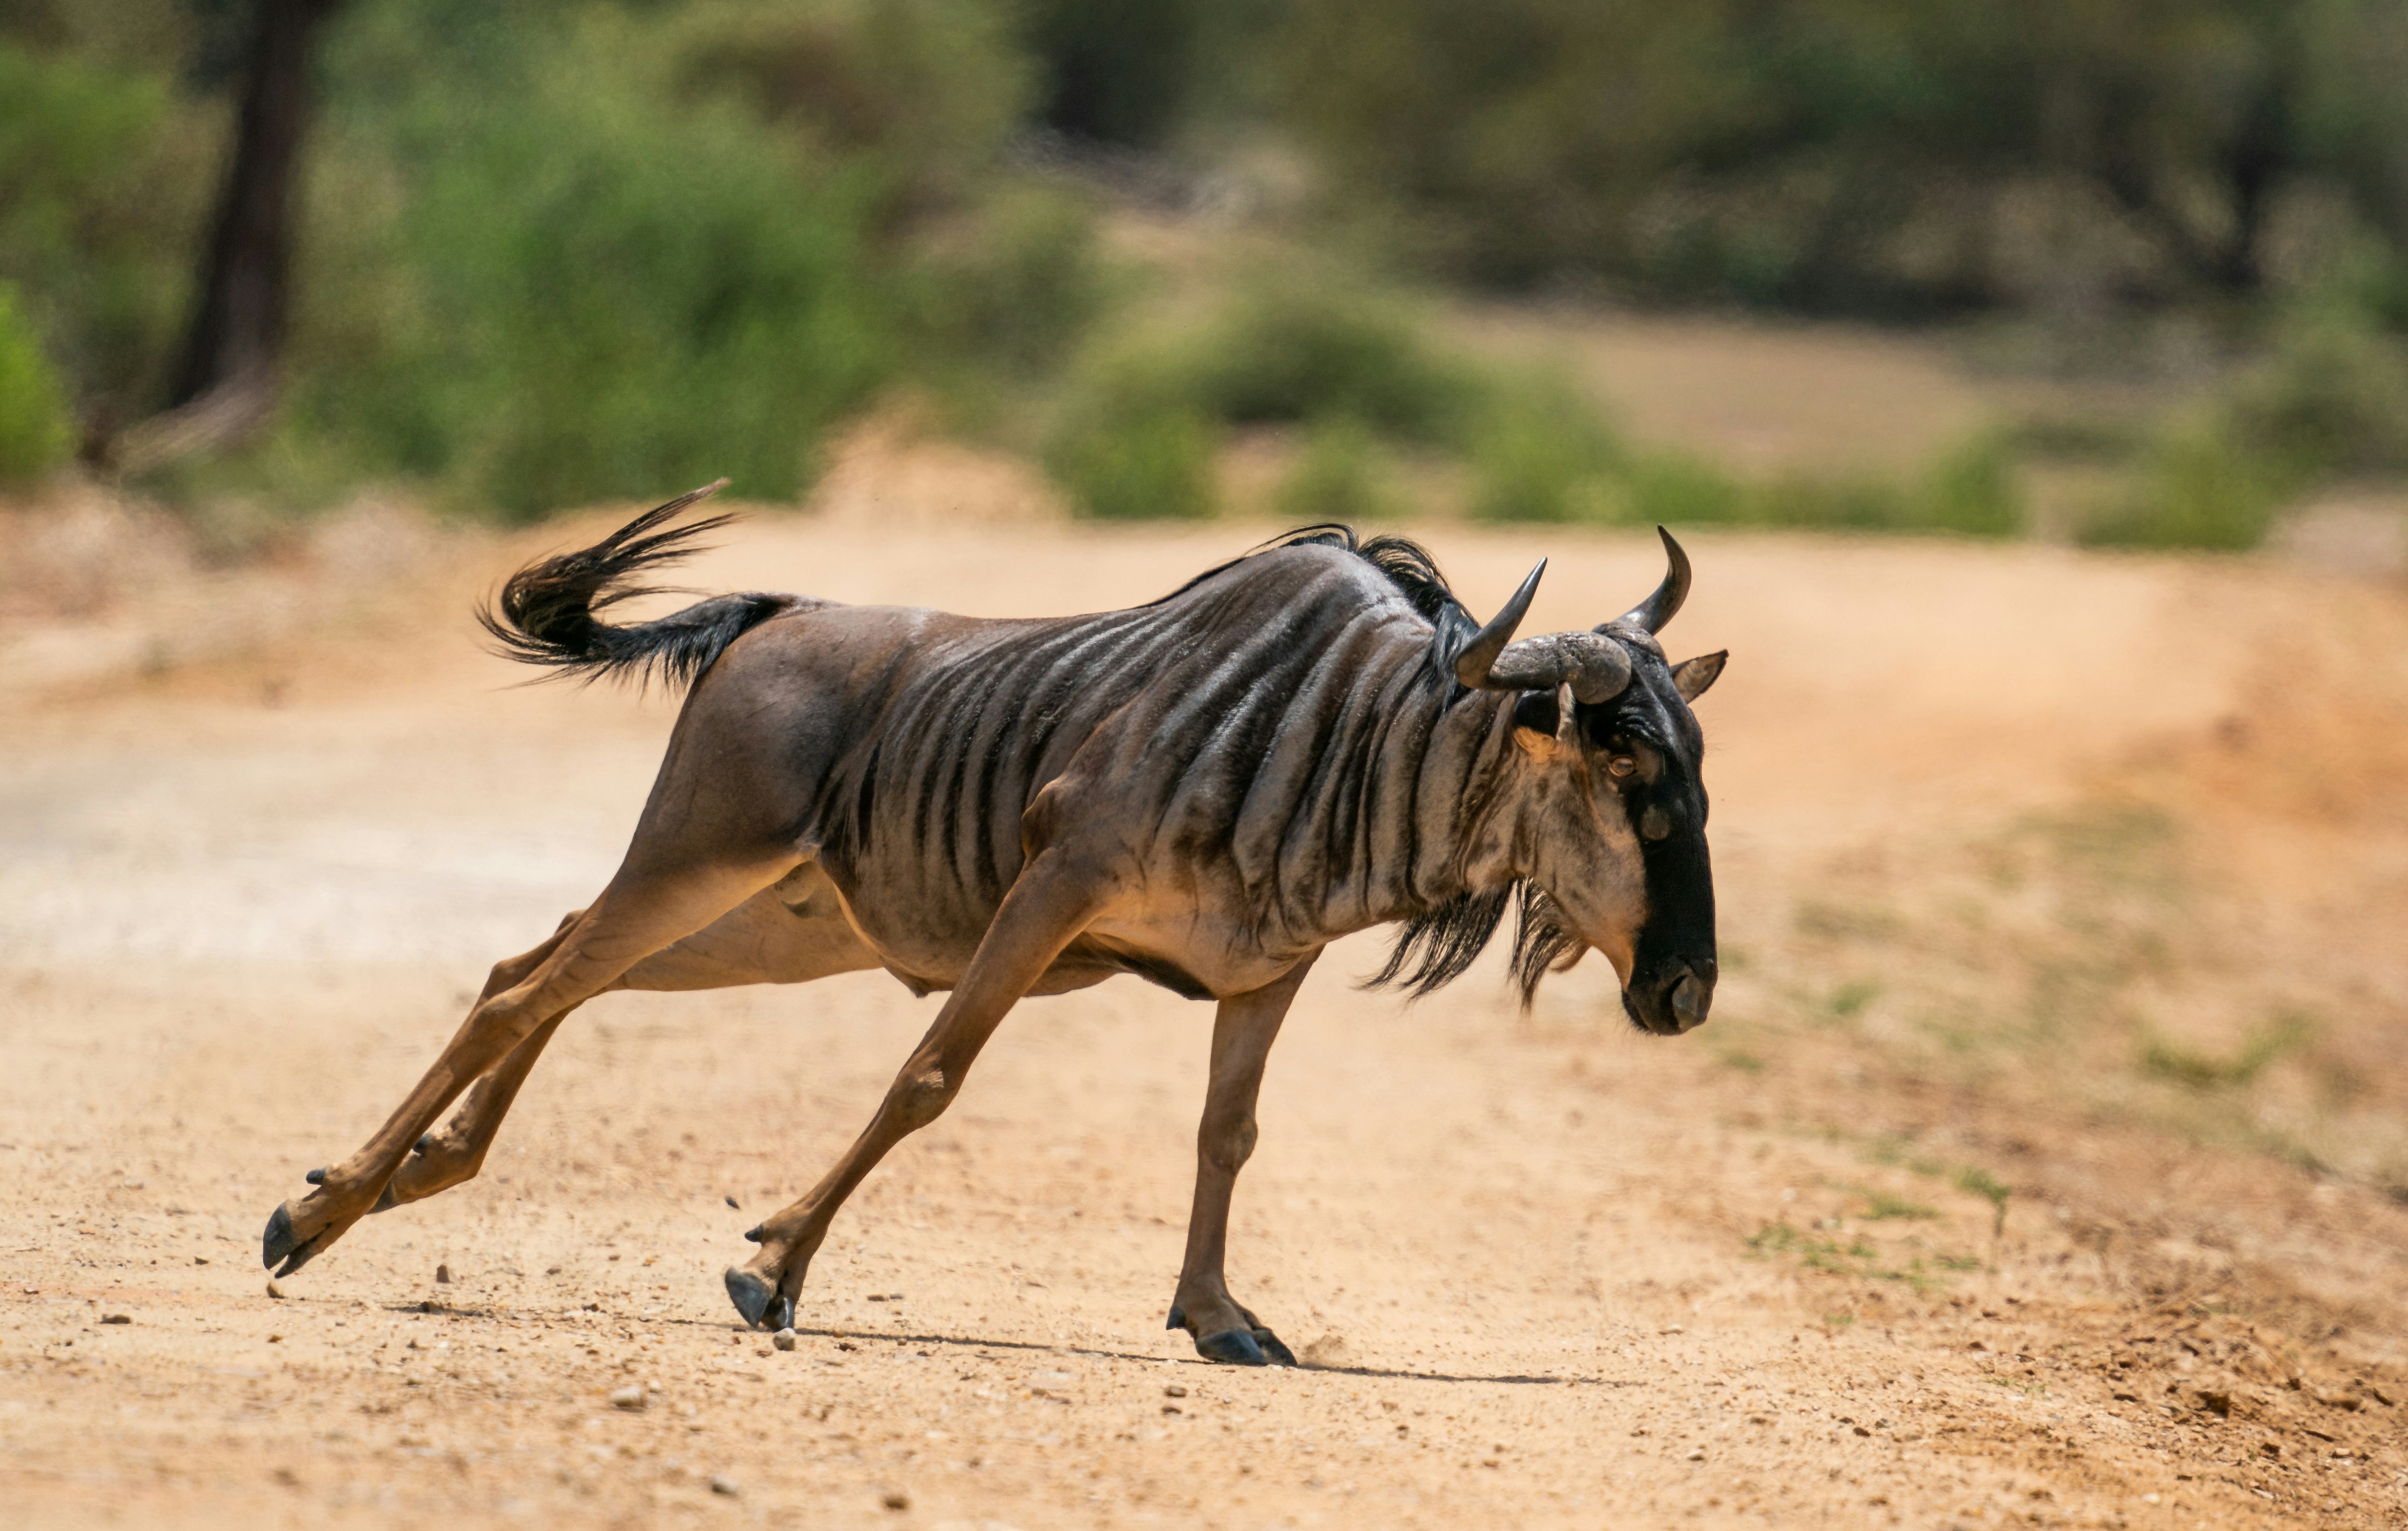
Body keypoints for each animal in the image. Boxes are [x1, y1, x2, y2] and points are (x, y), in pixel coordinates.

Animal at [263, 488, 1727, 1364]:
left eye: (1697, 769)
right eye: (1623, 766)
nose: (1686, 995)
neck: (1341, 736)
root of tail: (774, 614)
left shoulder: (1270, 970)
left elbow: (1229, 1134)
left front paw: (1217, 1318)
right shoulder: (1050, 890)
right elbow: (928, 1077)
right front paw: (773, 1268)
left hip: (779, 923)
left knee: (552, 966)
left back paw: (409, 1174)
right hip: (698, 859)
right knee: (535, 981)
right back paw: (320, 1210)